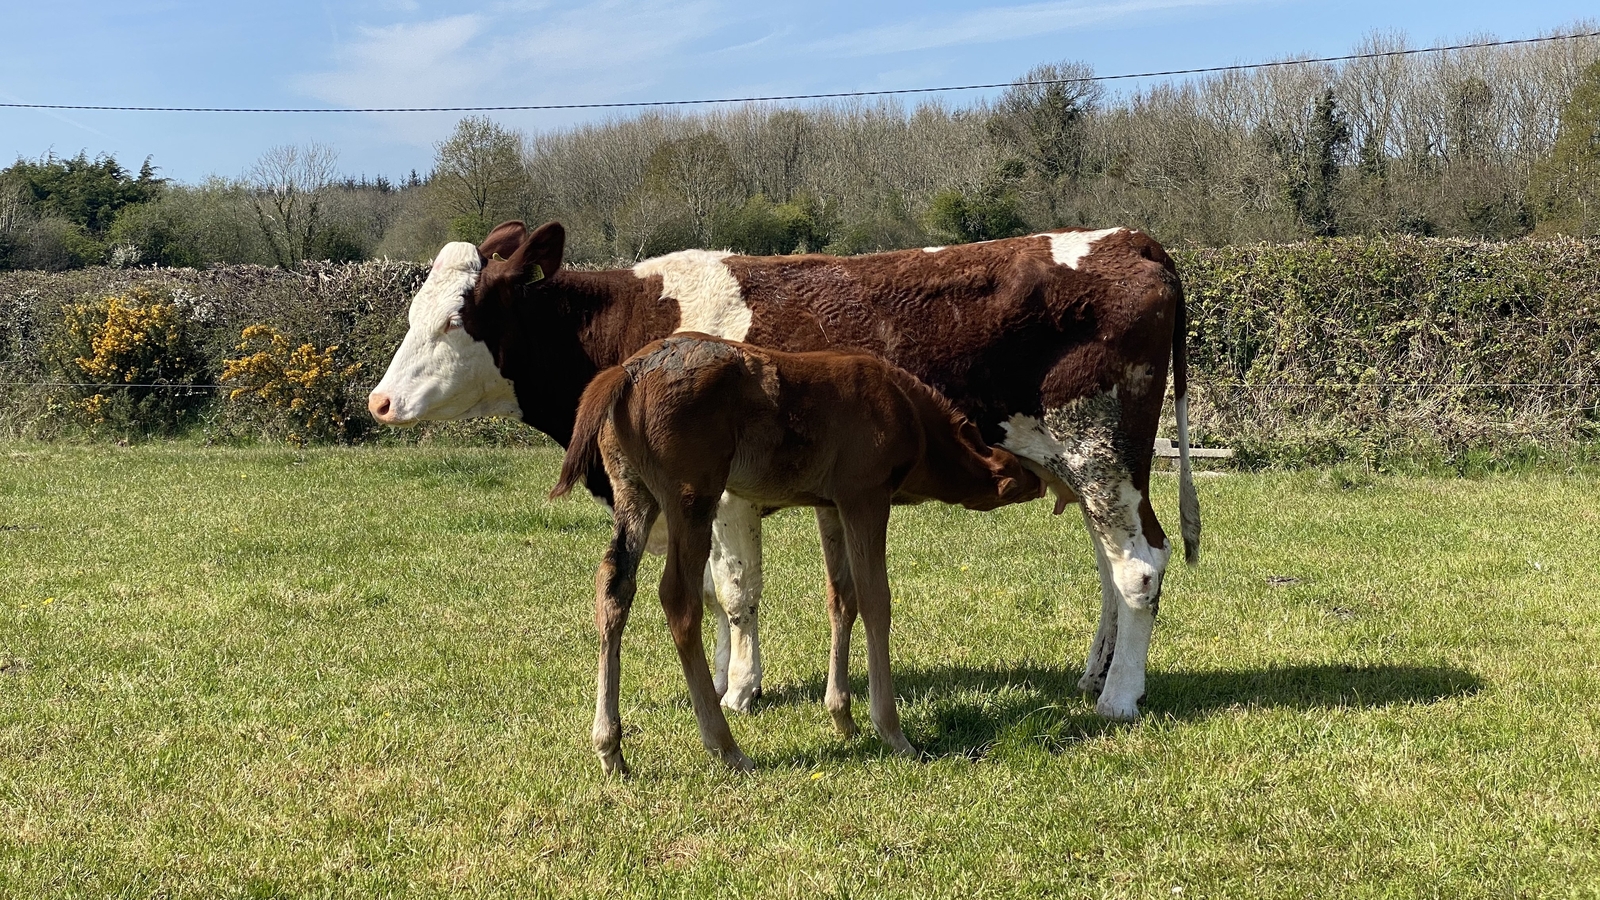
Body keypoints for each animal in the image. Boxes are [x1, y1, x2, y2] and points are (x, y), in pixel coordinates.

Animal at [368, 220, 1200, 722]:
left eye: (458, 319)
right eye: (412, 313)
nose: (379, 400)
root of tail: (1128, 238)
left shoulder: (725, 496)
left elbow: (736, 592)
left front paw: (739, 690)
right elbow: (712, 588)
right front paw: (730, 678)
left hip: (1101, 450)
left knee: (1141, 566)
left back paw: (1119, 698)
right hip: (1087, 467)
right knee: (1111, 567)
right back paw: (1095, 675)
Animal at [551, 333, 1045, 773]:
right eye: (1019, 469)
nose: (1041, 482)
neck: (910, 413)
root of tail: (626, 372)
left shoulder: (829, 506)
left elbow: (841, 598)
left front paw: (842, 716)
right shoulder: (865, 496)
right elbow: (875, 600)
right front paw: (891, 731)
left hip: (635, 494)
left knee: (614, 589)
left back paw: (610, 747)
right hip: (691, 497)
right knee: (678, 598)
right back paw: (725, 746)